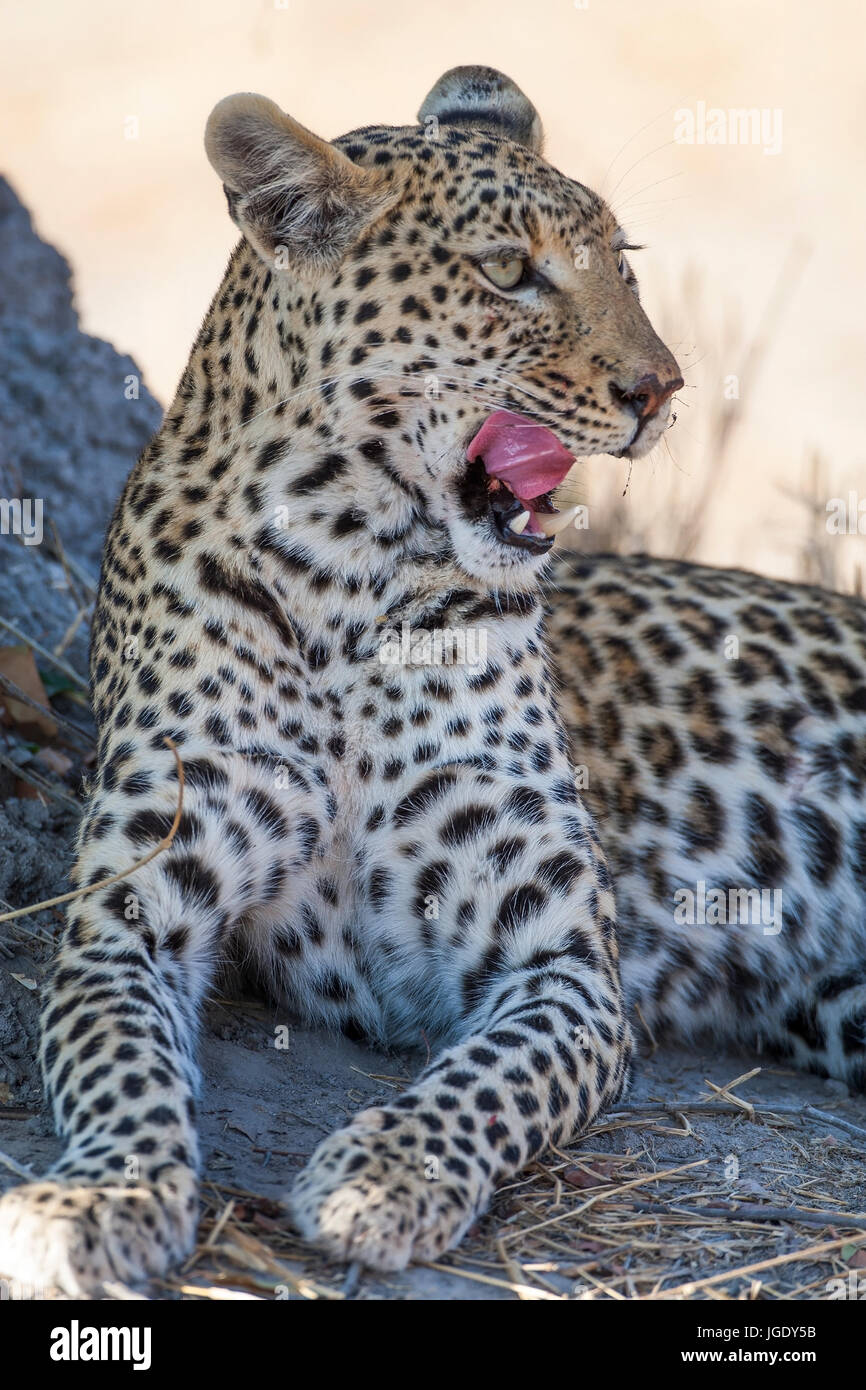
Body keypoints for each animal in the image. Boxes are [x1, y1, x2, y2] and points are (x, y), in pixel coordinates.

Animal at [0, 64, 863, 1297]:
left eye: (623, 261)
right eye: (507, 271)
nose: (661, 390)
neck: (343, 574)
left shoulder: (559, 961)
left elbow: (486, 1080)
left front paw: (383, 1177)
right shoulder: (127, 912)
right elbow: (113, 1057)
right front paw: (99, 1195)